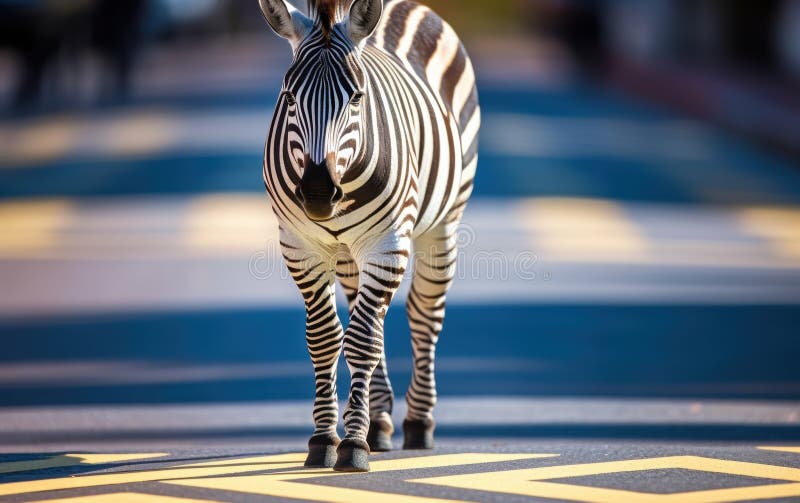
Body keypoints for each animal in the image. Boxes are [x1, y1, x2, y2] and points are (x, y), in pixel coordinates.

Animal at [258, 0, 479, 472]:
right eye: (289, 97)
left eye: (357, 97)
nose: (317, 192)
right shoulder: (300, 247)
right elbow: (327, 339)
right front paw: (325, 438)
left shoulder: (388, 243)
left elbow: (361, 341)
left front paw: (353, 445)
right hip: (348, 254)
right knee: (372, 315)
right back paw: (379, 423)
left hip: (442, 225)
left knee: (423, 315)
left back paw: (418, 423)